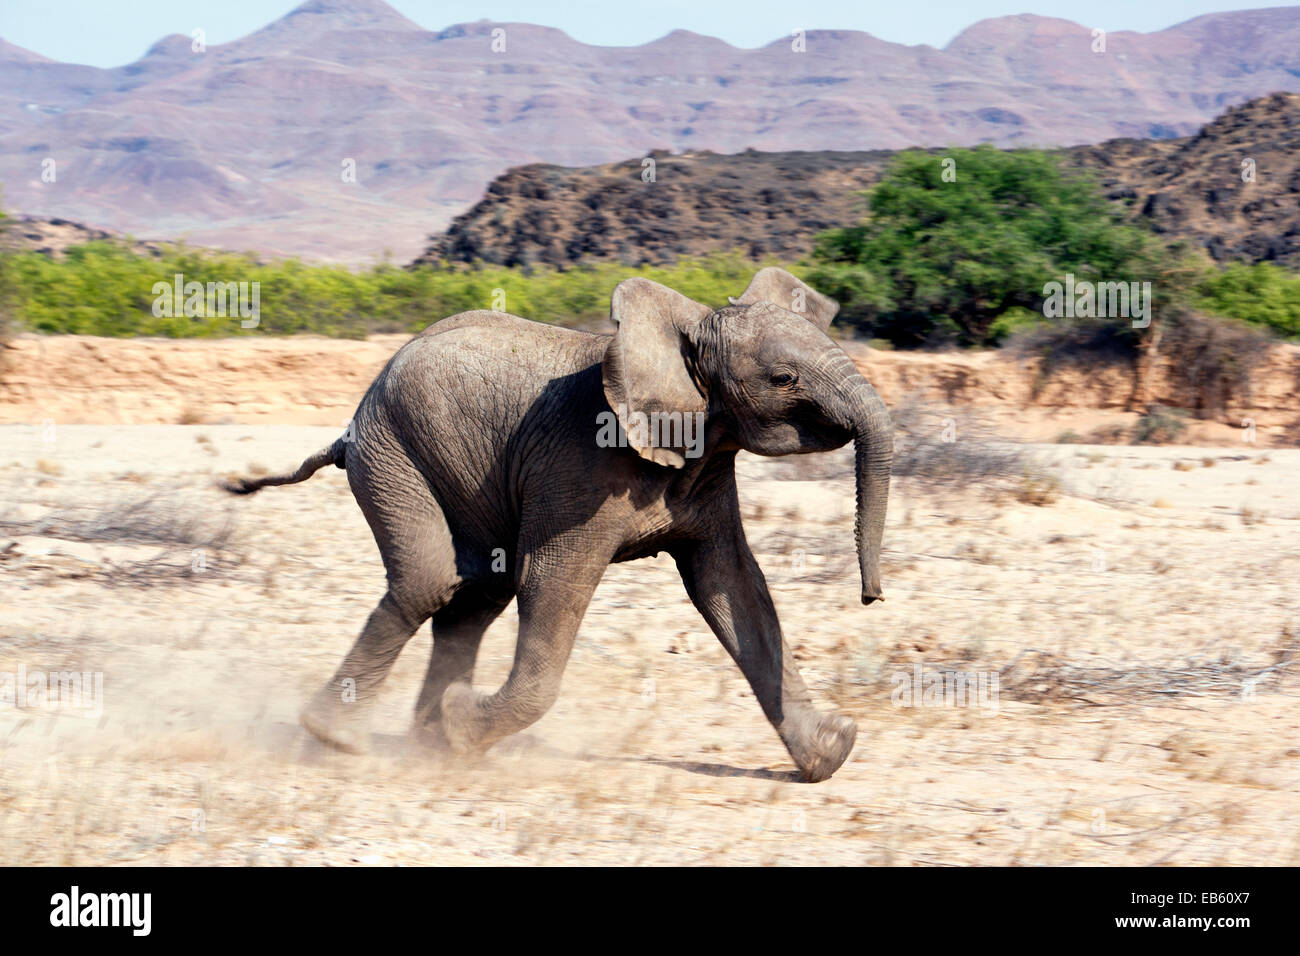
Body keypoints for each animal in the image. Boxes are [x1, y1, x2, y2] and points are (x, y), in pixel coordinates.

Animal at [224, 268, 892, 782]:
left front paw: (833, 752)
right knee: (429, 583)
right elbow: (552, 584)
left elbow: (734, 590)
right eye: (784, 379)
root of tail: (349, 427)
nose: (872, 597)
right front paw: (464, 723)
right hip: (394, 452)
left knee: (475, 599)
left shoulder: (706, 473)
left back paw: (427, 743)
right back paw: (340, 739)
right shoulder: (579, 473)